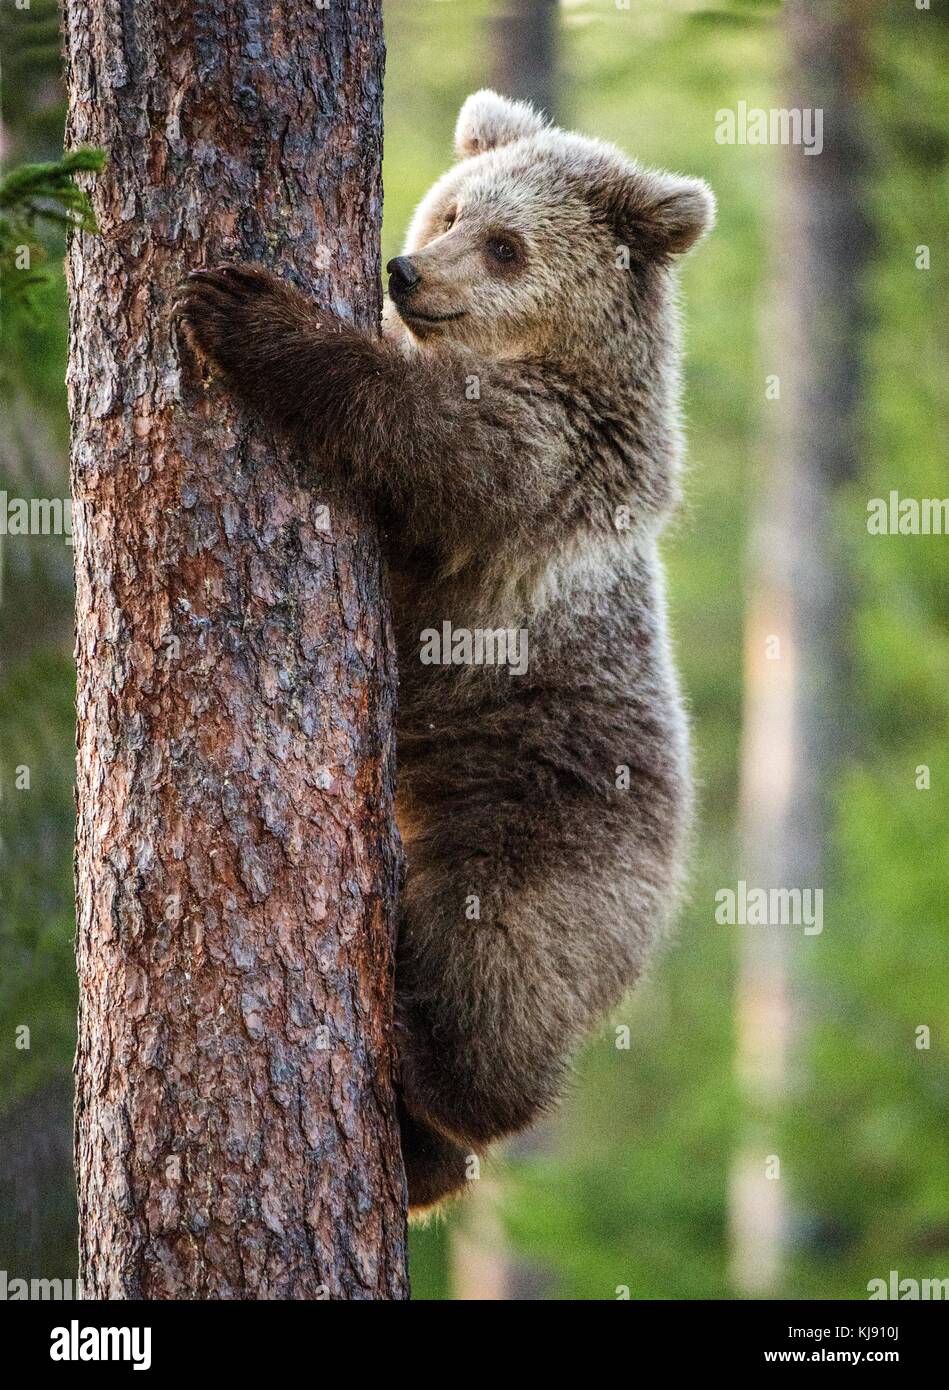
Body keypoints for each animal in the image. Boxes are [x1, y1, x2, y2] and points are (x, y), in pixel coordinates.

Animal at [177, 89, 714, 1216]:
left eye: (508, 246)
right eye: (455, 207)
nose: (407, 271)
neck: (554, 366)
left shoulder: (539, 464)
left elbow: (418, 434)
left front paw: (244, 306)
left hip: (553, 830)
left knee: (498, 968)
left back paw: (445, 1088)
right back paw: (421, 1151)